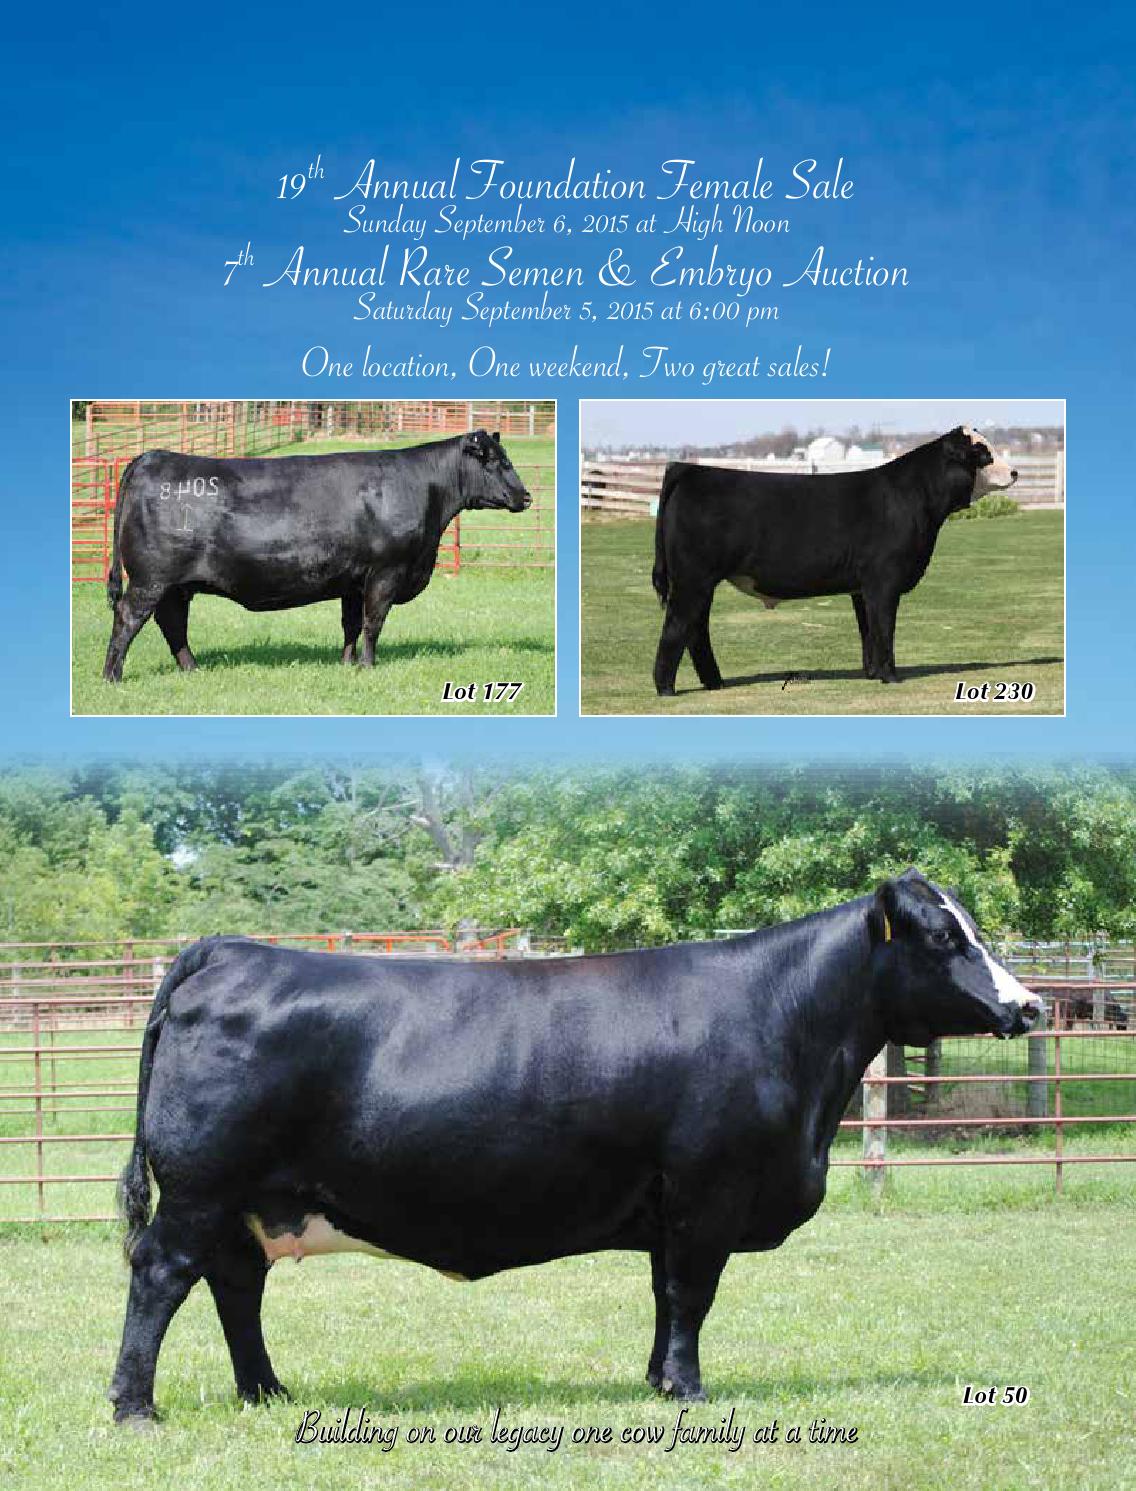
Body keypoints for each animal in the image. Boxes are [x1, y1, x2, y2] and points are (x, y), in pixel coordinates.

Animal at [101, 431, 531, 681]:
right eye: (498, 461)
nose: (526, 496)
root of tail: (152, 457)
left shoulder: (354, 581)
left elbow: (351, 625)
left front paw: (346, 664)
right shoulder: (386, 571)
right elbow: (373, 623)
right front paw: (368, 667)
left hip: (174, 585)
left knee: (172, 623)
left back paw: (192, 670)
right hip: (151, 579)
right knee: (128, 619)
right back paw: (112, 676)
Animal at [109, 869, 1042, 1423]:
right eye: (945, 937)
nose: (1029, 1004)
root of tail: (229, 951)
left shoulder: (668, 1206)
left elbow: (666, 1296)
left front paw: (658, 1380)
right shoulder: (708, 1192)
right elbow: (694, 1293)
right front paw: (691, 1390)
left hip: (245, 1199)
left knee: (236, 1283)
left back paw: (267, 1392)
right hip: (200, 1189)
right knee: (162, 1276)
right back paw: (135, 1406)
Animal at [651, 427, 1018, 695]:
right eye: (982, 453)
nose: (1015, 471)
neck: (914, 496)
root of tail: (689, 469)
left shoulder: (862, 586)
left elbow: (869, 631)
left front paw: (872, 673)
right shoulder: (884, 580)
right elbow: (884, 628)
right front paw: (891, 676)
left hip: (700, 582)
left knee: (696, 629)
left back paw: (715, 682)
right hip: (693, 579)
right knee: (677, 627)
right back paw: (666, 689)